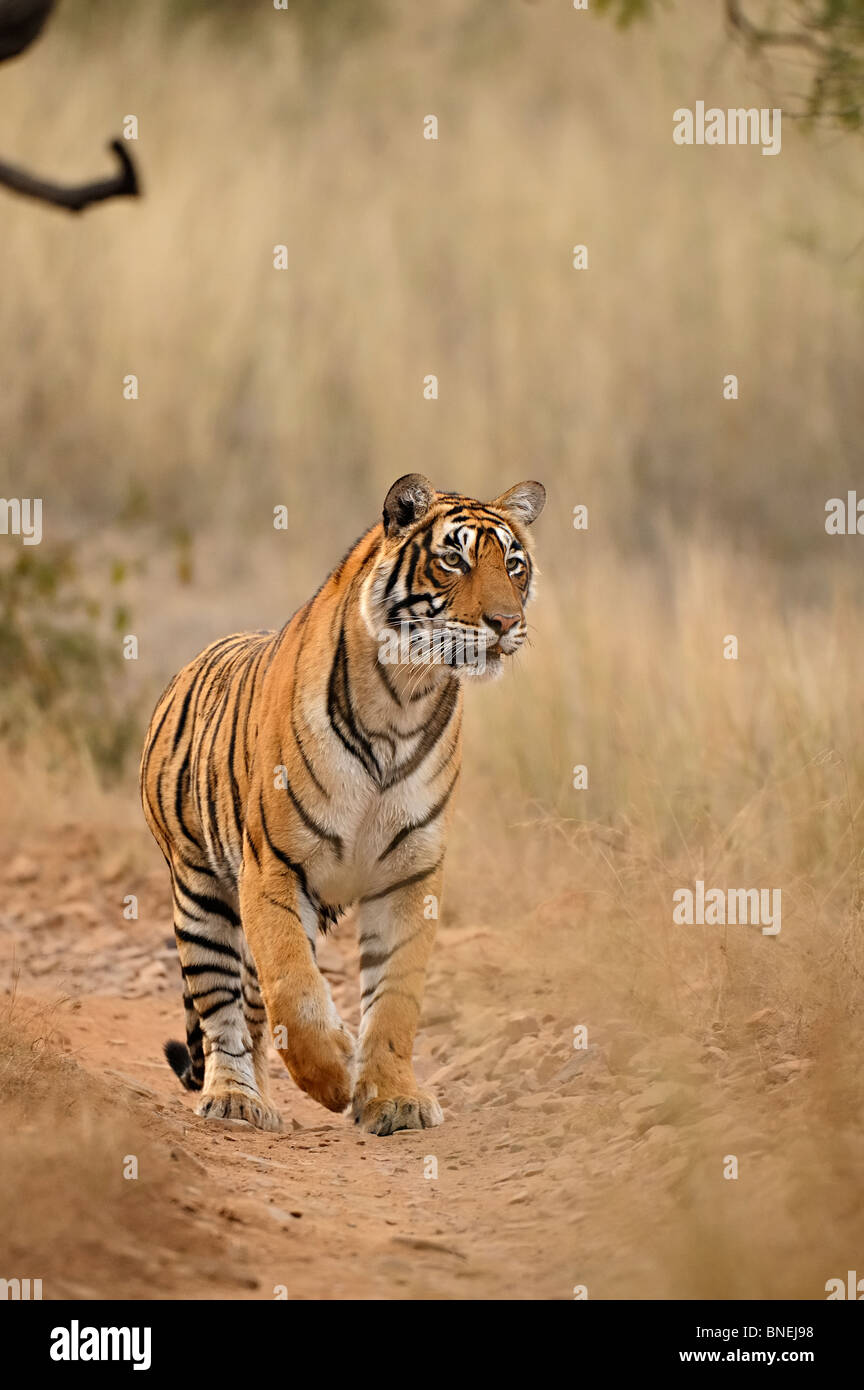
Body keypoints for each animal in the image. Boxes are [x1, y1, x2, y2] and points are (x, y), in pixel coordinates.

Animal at [140, 473, 545, 1134]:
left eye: (514, 564)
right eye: (454, 559)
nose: (507, 621)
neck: (404, 697)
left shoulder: (410, 874)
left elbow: (396, 997)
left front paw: (393, 1098)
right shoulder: (273, 867)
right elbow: (295, 988)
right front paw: (333, 1074)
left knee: (252, 1010)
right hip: (200, 891)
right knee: (224, 1009)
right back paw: (237, 1099)